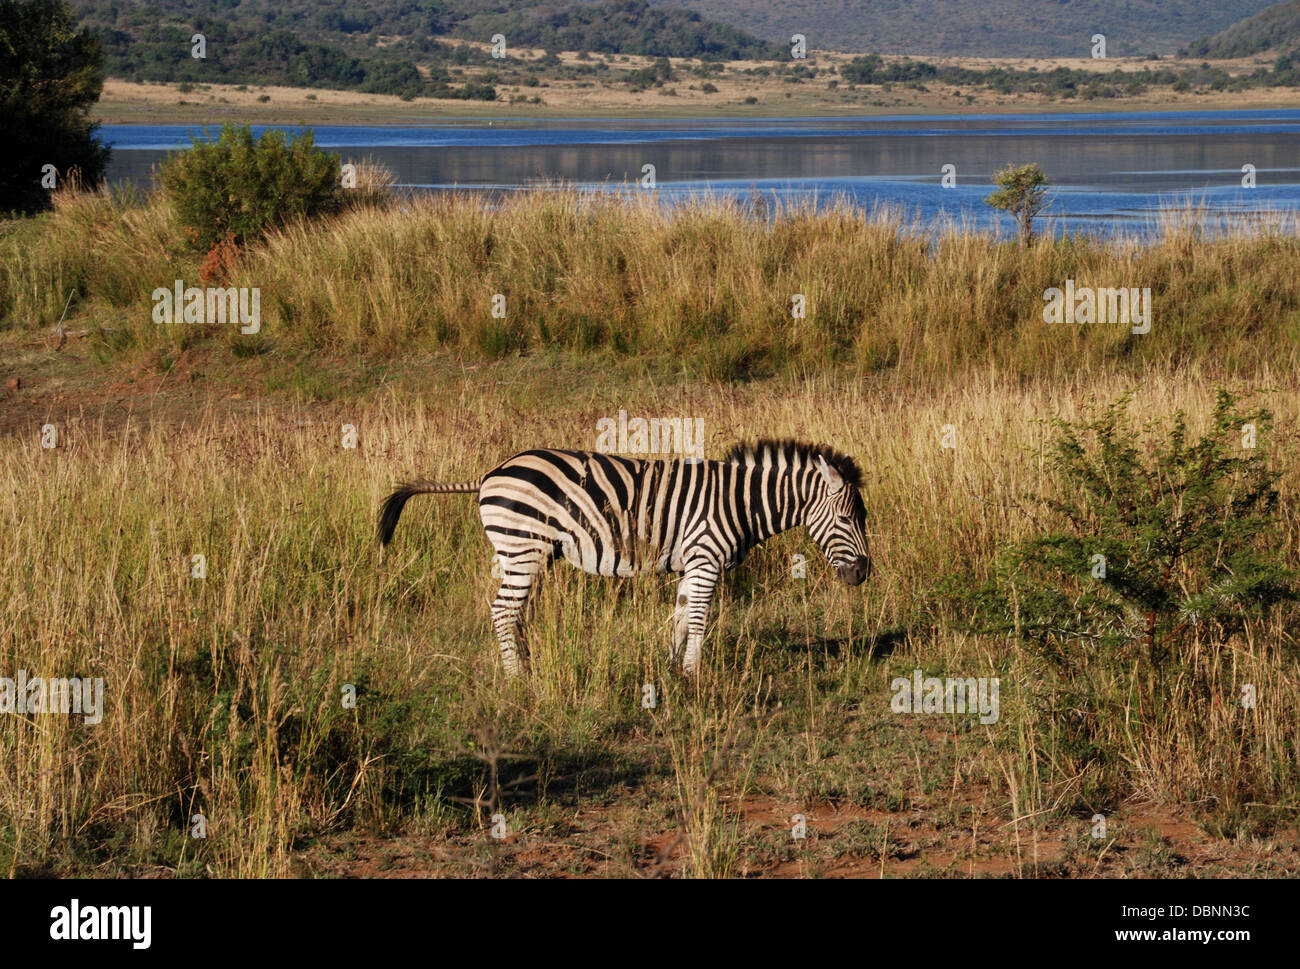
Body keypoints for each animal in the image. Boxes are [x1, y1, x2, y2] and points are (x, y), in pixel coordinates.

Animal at [377, 439, 871, 676]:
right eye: (847, 518)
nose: (864, 573)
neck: (738, 502)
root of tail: (490, 473)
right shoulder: (706, 556)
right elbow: (698, 618)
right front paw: (694, 675)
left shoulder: (692, 563)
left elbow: (680, 615)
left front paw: (673, 671)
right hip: (523, 549)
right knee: (502, 610)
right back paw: (517, 678)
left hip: (522, 555)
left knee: (517, 612)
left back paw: (527, 665)